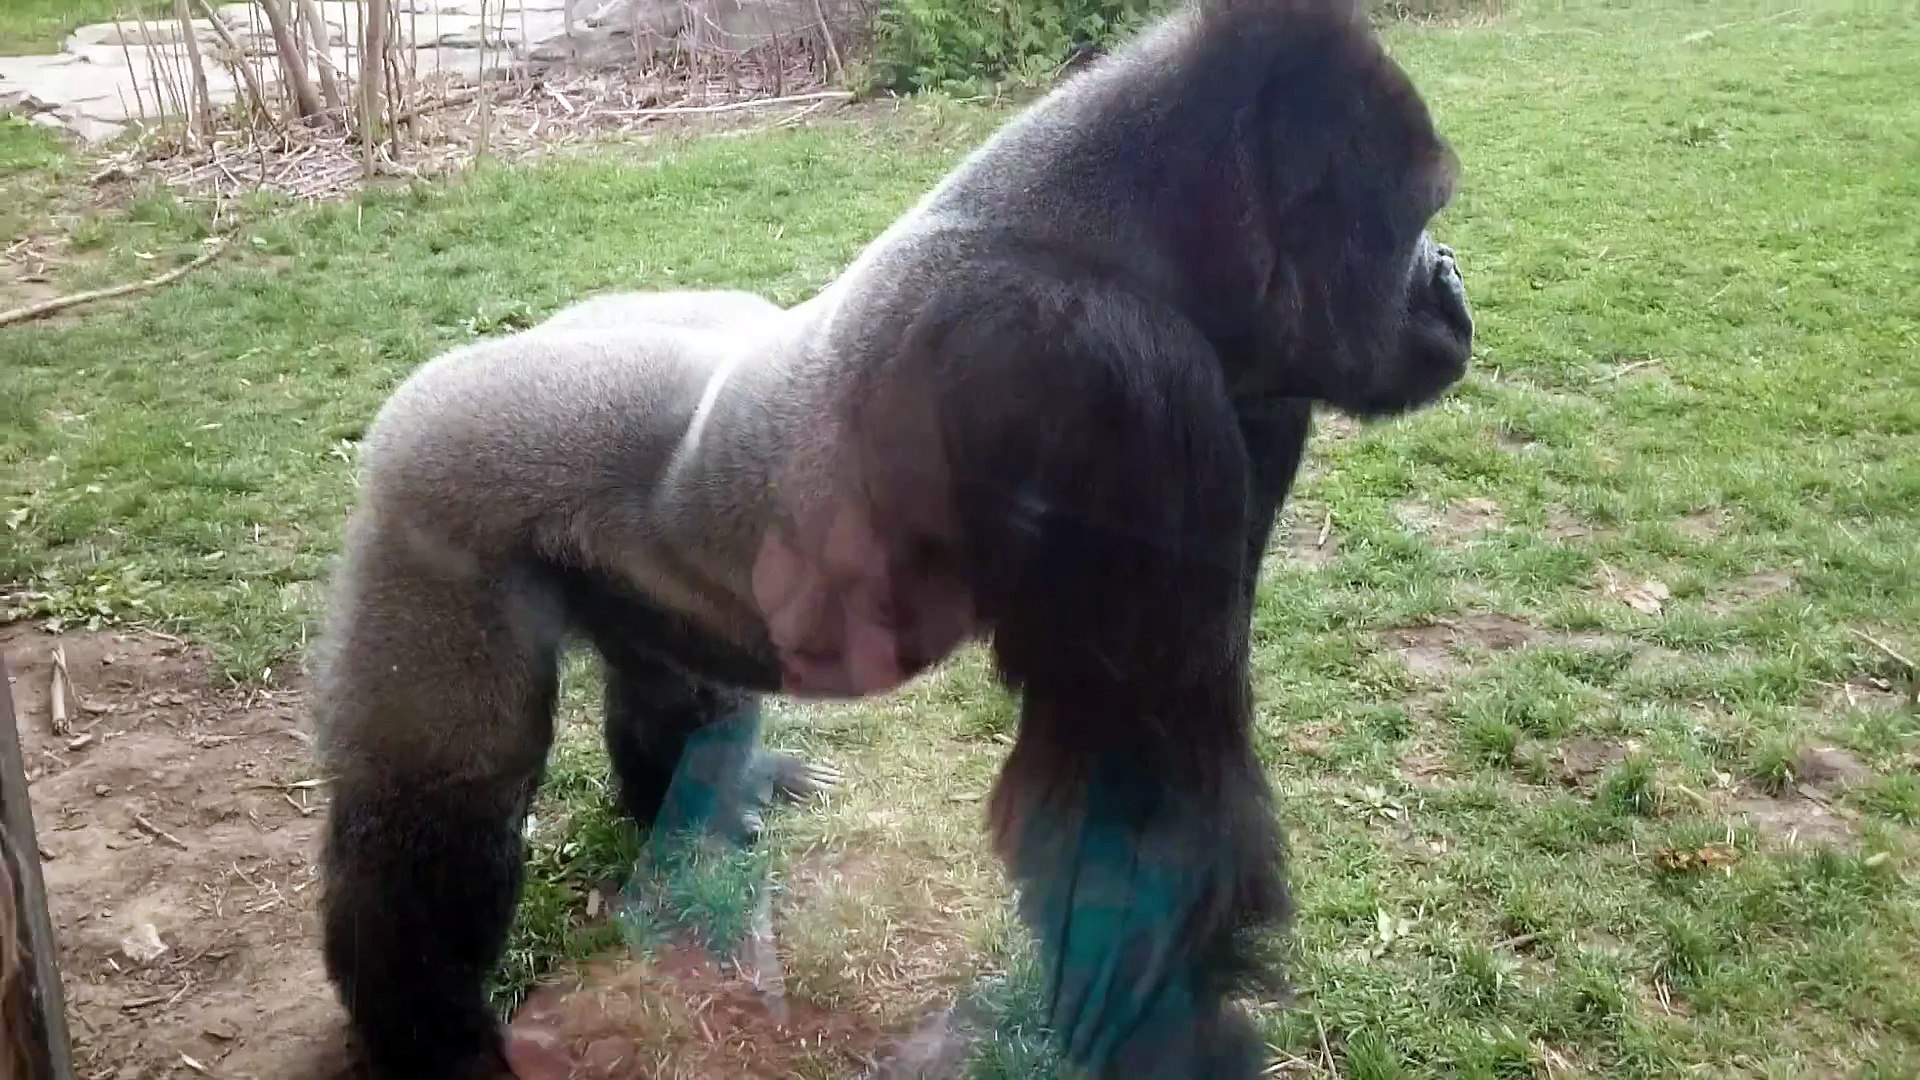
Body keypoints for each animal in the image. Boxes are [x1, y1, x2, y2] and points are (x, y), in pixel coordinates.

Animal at [309, 1, 1474, 1077]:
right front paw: (1178, 1041)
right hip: (430, 492)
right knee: (438, 815)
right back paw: (424, 1027)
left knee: (672, 681)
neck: (1130, 240)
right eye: (1418, 217)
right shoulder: (1112, 381)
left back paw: (693, 812)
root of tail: (426, 386)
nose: (1454, 281)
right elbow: (1145, 794)